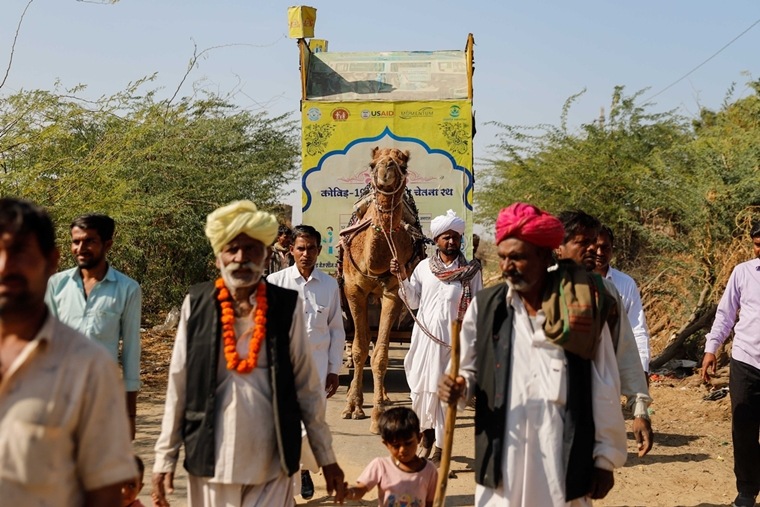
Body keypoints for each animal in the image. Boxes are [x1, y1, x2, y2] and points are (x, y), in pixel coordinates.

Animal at [339, 146, 424, 434]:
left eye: (403, 165)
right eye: (372, 163)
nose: (385, 170)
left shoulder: (393, 292)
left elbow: (381, 355)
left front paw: (377, 416)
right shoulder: (354, 290)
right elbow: (358, 349)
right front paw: (352, 407)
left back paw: (384, 397)